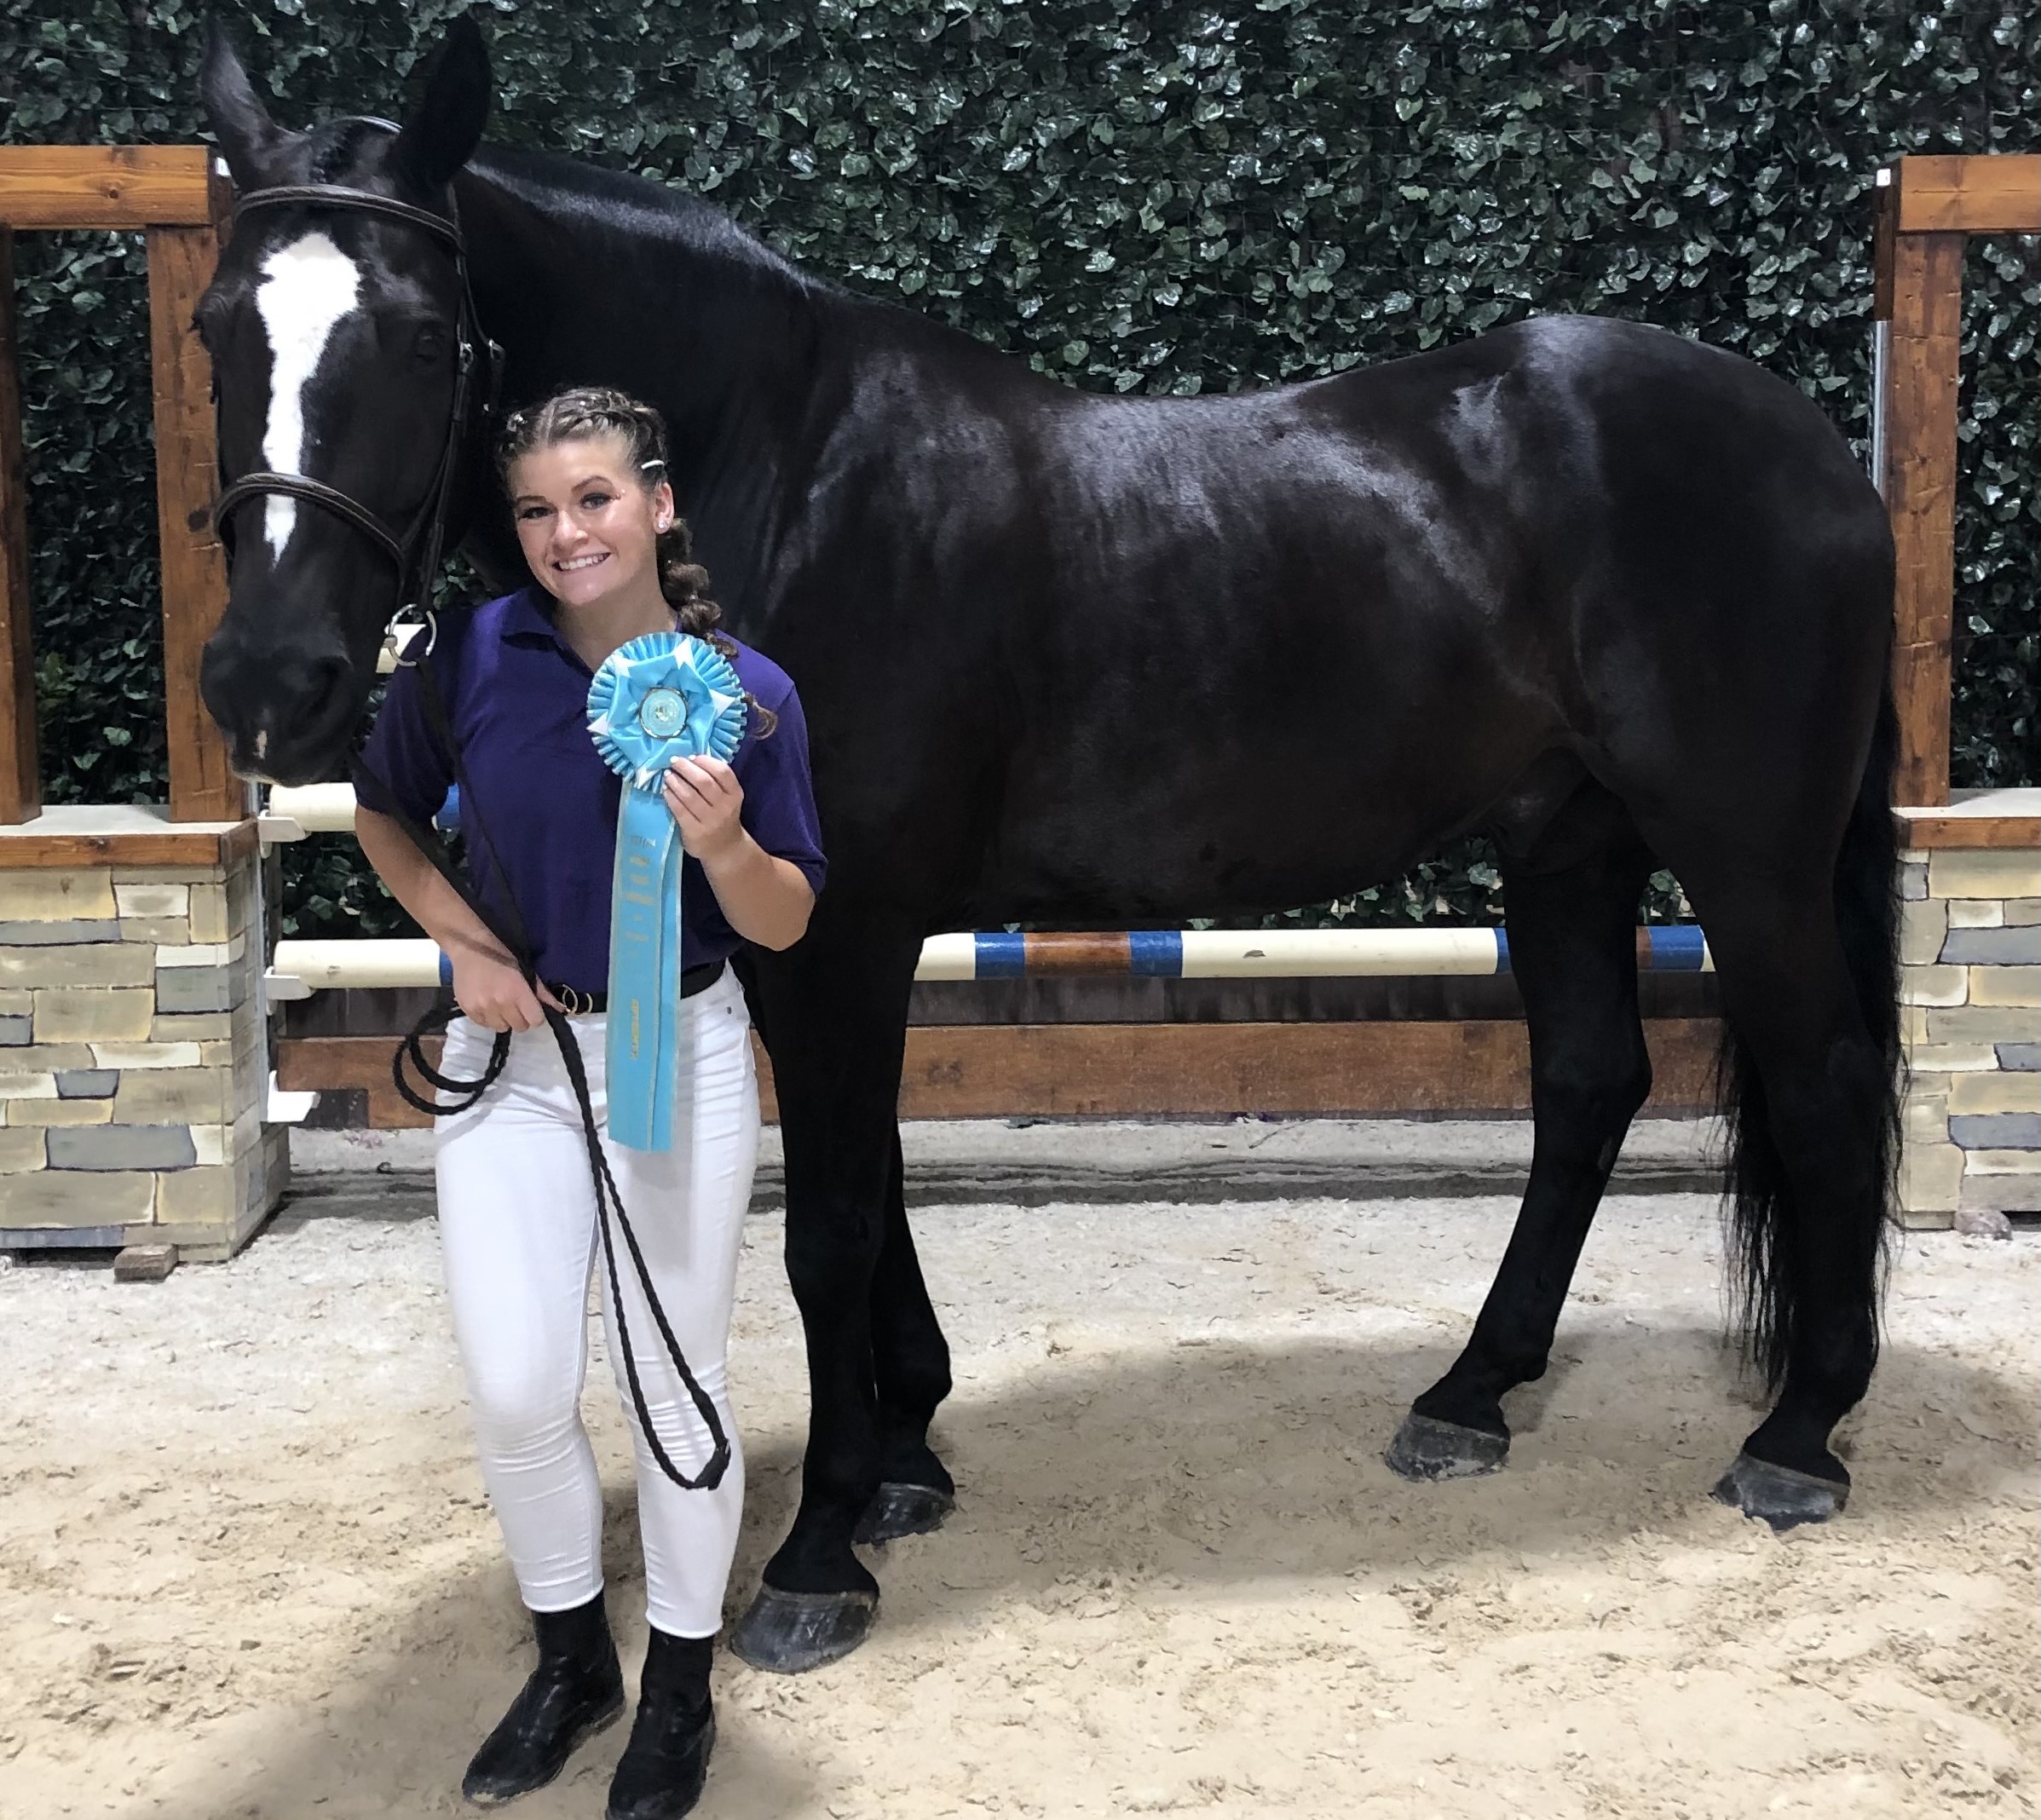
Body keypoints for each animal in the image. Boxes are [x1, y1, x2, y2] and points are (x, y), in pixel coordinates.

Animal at [194, 18, 1900, 1673]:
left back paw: (1795, 1436)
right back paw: (1468, 1395)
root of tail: (1817, 452)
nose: (272, 681)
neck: (780, 472)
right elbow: (870, 1190)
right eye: (218, 328)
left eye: (424, 335)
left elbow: (829, 1228)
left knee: (1820, 1079)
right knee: (1590, 1082)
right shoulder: (812, 936)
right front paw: (905, 1459)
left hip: (1747, 855)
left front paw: (818, 1553)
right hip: (1565, 843)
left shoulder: (849, 927)